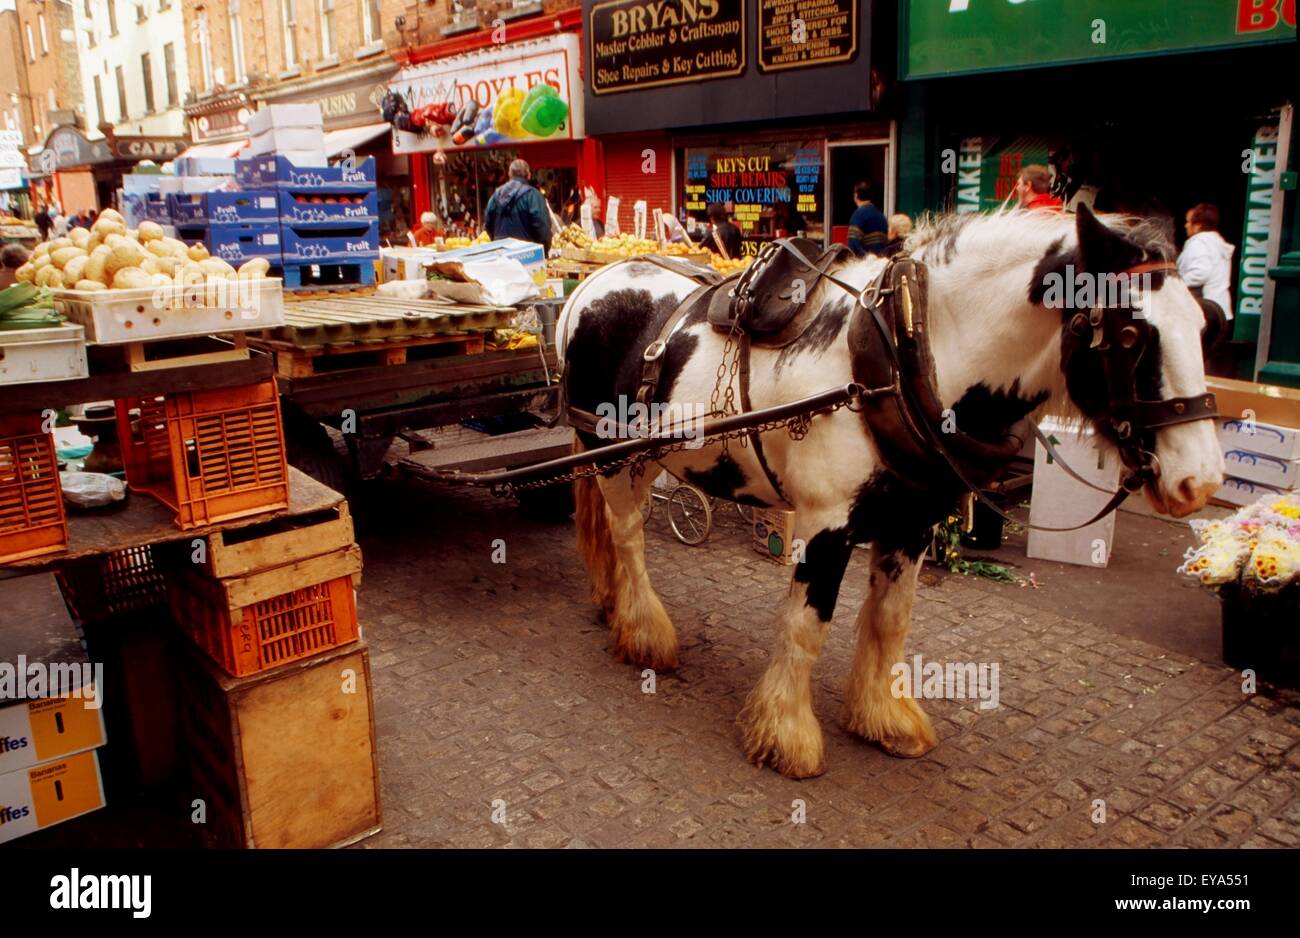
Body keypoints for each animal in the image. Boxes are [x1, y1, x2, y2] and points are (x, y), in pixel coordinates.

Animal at [554, 205, 1224, 779]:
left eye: (1205, 326)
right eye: (1132, 336)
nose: (1203, 480)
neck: (904, 357)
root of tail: (591, 285)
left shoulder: (911, 521)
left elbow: (890, 620)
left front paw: (883, 718)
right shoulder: (825, 525)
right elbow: (807, 625)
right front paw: (787, 736)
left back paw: (614, 606)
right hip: (615, 456)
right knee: (629, 537)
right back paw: (644, 634)